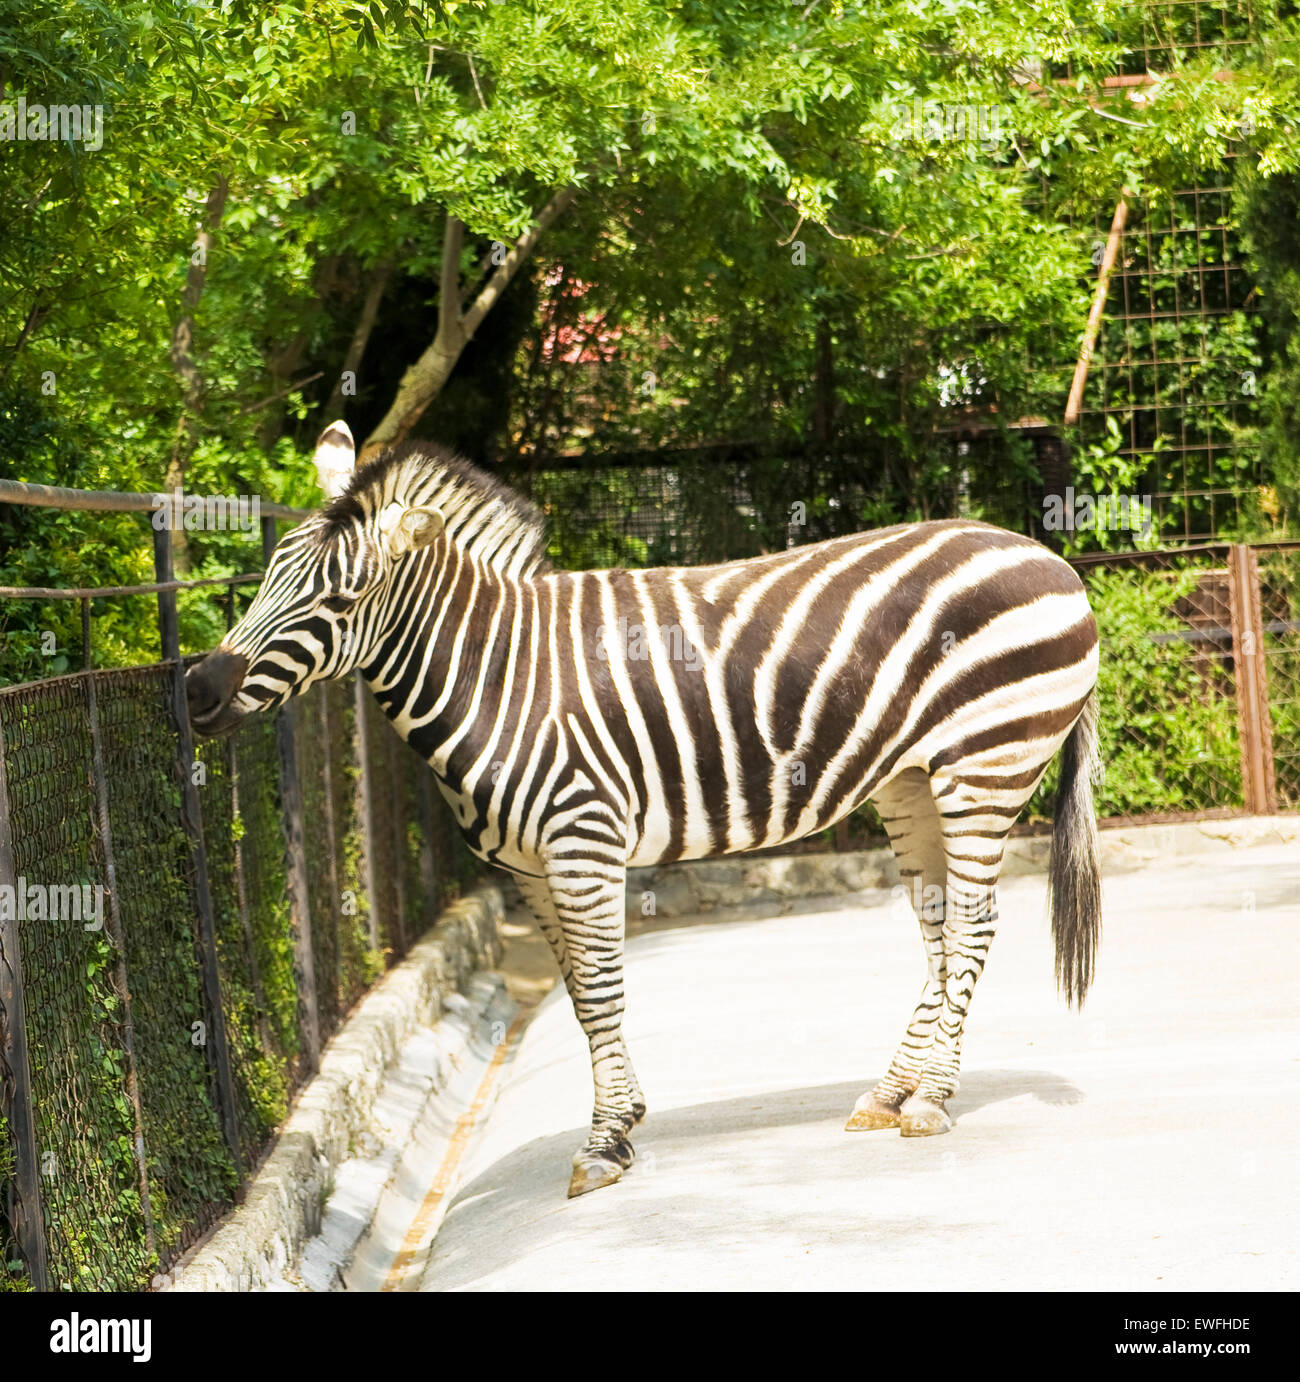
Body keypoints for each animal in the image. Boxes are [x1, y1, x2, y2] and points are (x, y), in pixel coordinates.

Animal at [187, 422, 1101, 1199]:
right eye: (269, 574)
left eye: (339, 602)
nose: (197, 690)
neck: (498, 674)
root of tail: (1049, 556)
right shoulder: (528, 867)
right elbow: (576, 996)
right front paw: (622, 1122)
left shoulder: (582, 841)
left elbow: (598, 994)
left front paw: (603, 1145)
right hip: (910, 780)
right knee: (939, 925)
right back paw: (892, 1091)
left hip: (984, 764)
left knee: (975, 924)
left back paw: (933, 1101)